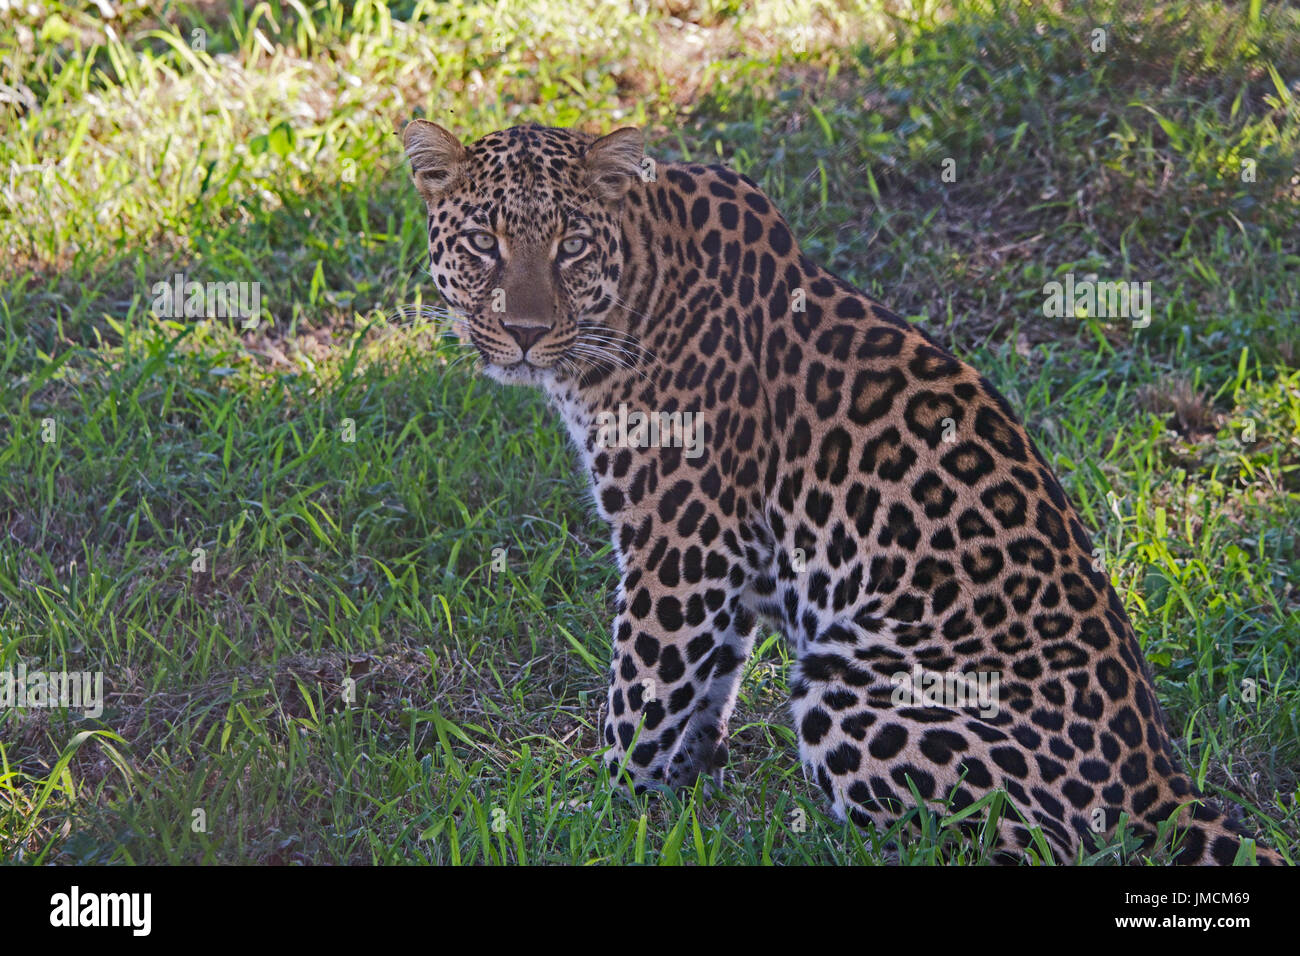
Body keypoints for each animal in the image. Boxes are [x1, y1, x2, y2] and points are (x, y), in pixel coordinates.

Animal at [402, 118, 1285, 865]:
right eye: (482, 243)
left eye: (573, 246)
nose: (523, 332)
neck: (635, 290)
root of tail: (1159, 788)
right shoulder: (727, 558)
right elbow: (705, 684)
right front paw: (684, 796)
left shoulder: (681, 543)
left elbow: (644, 693)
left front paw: (597, 815)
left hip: (852, 694)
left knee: (1029, 846)